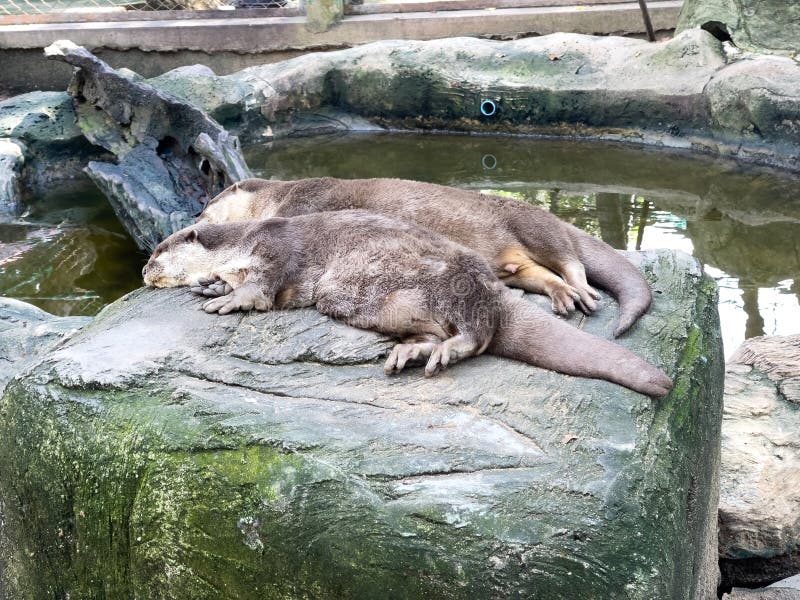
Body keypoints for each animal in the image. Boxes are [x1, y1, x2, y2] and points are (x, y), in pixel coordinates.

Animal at [143, 210, 673, 397]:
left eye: (156, 252)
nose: (144, 271)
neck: (243, 240)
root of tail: (492, 291)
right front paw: (211, 287)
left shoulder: (276, 250)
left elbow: (262, 290)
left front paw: (226, 301)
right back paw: (410, 351)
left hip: (430, 287)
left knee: (476, 336)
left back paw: (442, 352)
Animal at [196, 177, 651, 337]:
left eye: (205, 206)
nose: (194, 215)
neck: (280, 196)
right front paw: (212, 283)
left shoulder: (302, 208)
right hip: (516, 265)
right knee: (539, 273)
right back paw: (562, 297)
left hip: (532, 222)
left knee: (569, 257)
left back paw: (582, 291)